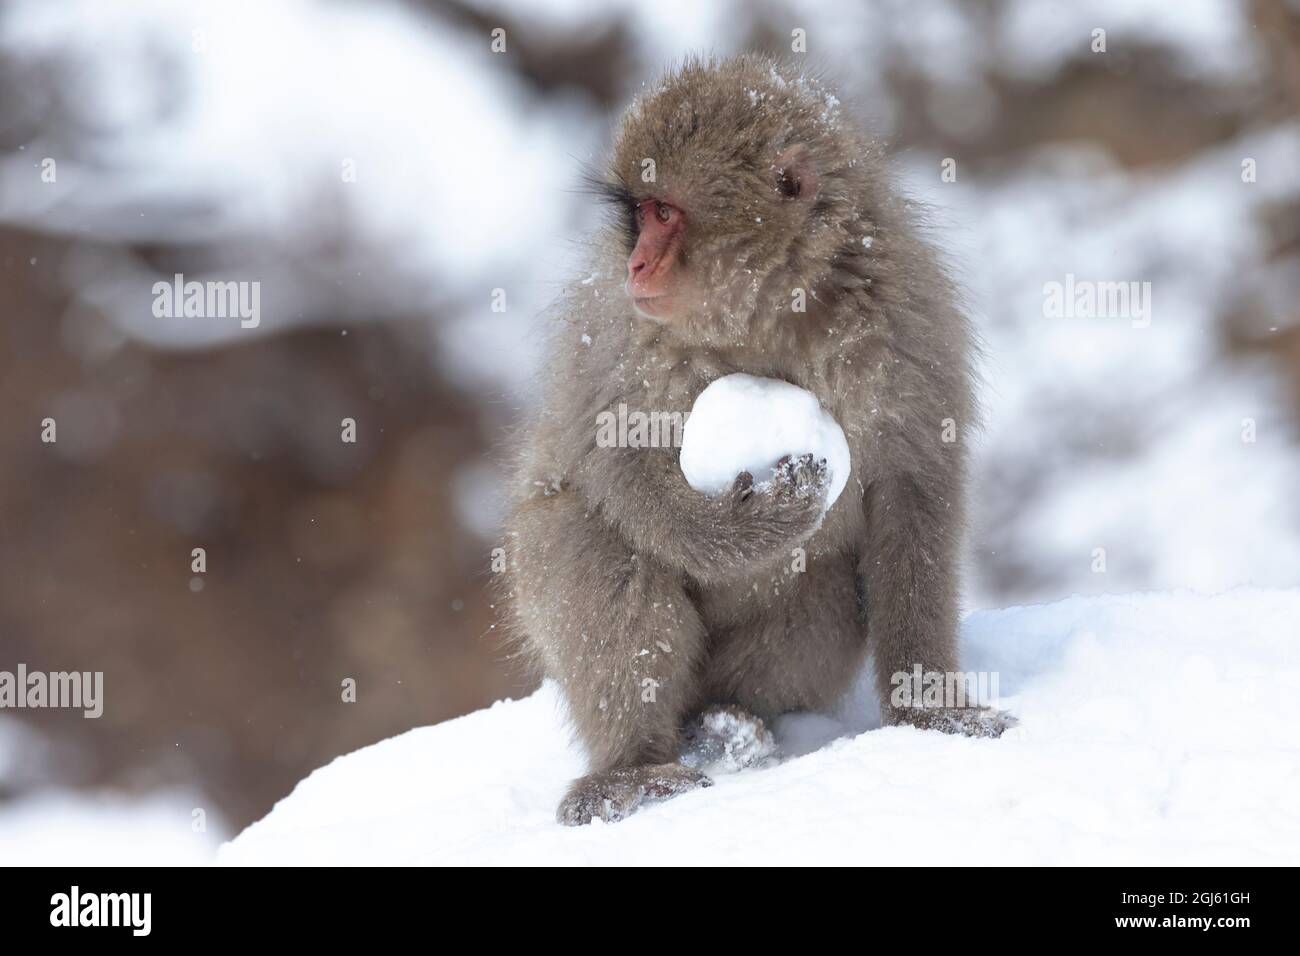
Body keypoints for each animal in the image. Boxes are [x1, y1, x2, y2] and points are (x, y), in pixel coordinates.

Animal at [502, 54, 1013, 827]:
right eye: (640, 215)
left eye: (663, 213)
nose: (635, 267)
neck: (773, 309)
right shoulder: (627, 342)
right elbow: (616, 472)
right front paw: (751, 525)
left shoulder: (907, 322)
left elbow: (914, 494)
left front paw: (929, 709)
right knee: (593, 548)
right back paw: (634, 765)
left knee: (824, 590)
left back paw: (728, 722)